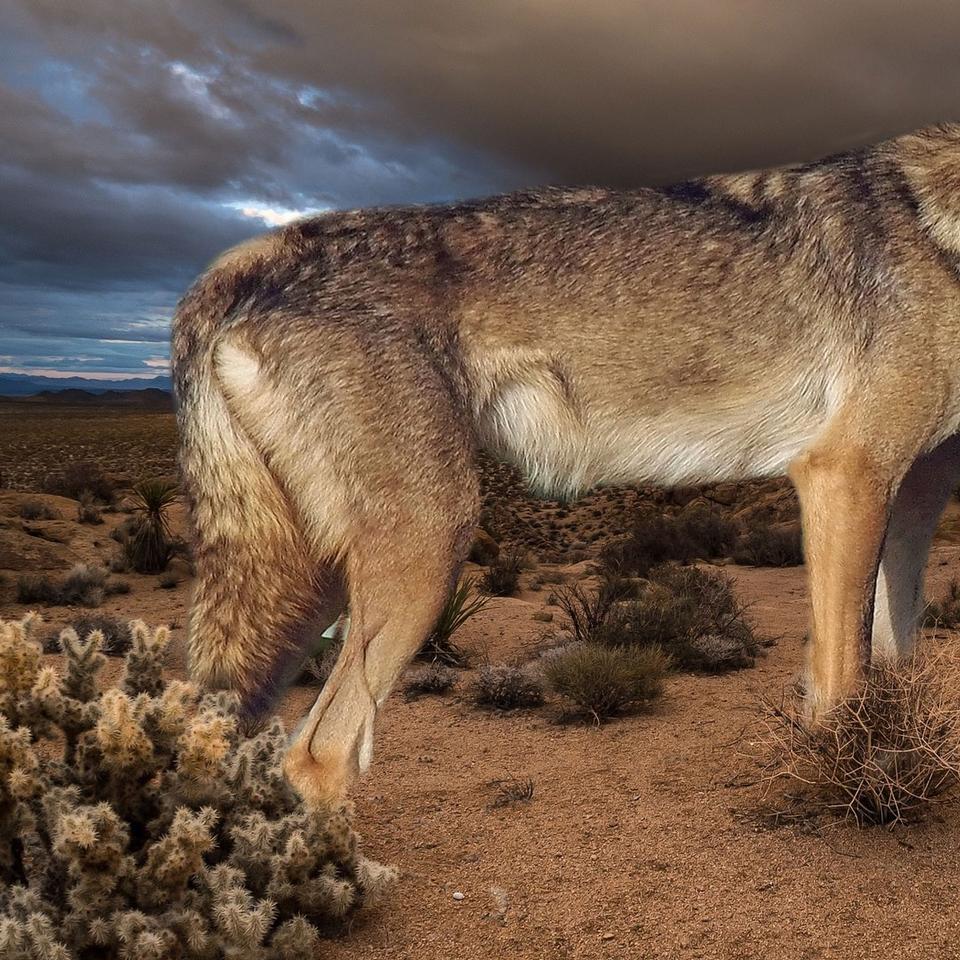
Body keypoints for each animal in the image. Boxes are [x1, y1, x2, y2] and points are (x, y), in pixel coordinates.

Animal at [172, 123, 960, 806]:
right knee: (316, 755)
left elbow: (898, 657)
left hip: (314, 586)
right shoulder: (847, 473)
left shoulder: (914, 499)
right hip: (425, 550)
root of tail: (248, 256)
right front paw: (850, 794)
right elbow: (843, 688)